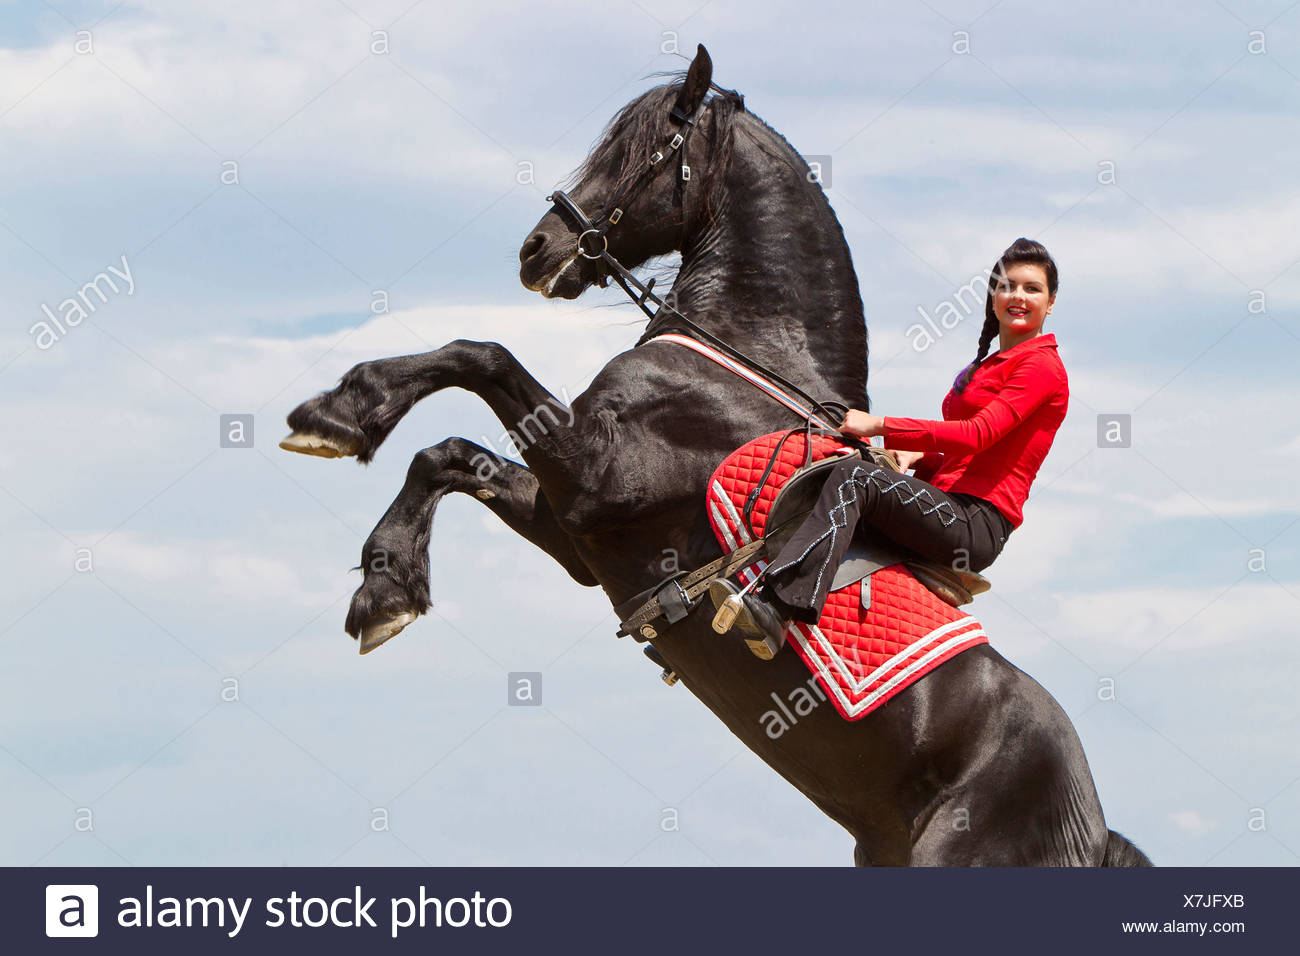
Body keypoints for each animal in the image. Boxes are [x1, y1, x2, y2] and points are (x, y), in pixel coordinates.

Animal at [281, 45, 1152, 866]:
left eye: (641, 151)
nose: (536, 249)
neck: (741, 348)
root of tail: (1093, 826)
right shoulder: (579, 532)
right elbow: (448, 454)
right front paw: (384, 583)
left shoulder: (600, 481)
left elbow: (477, 355)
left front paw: (342, 412)